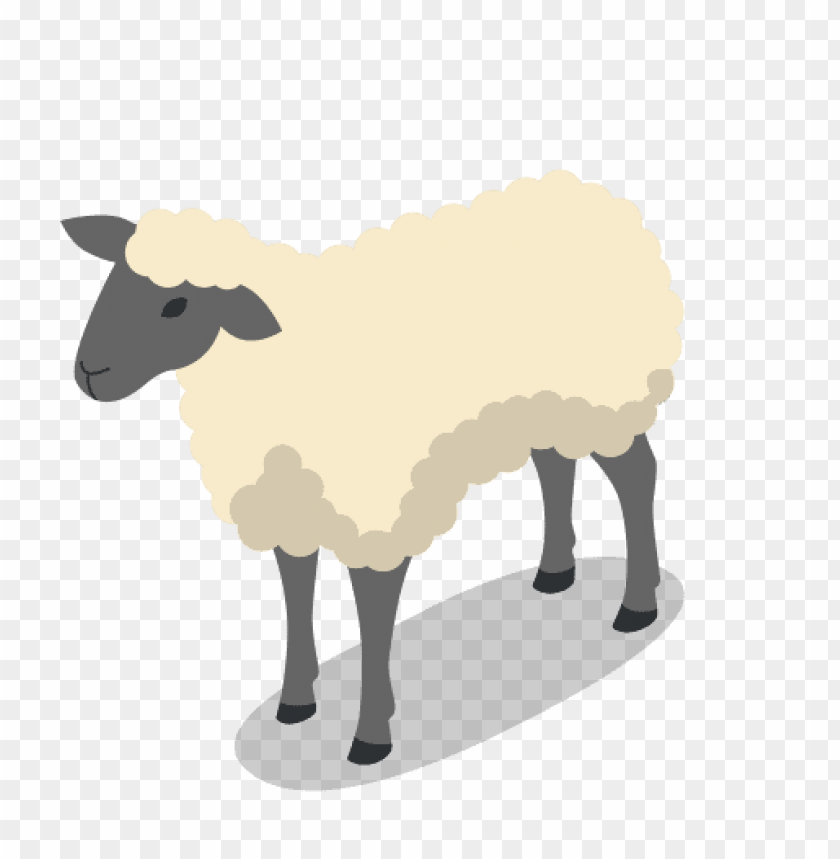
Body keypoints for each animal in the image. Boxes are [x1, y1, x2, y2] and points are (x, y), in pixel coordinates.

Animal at [62, 170, 683, 766]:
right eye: (114, 278)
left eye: (177, 304)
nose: (88, 372)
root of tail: (588, 197)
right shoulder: (289, 498)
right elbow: (297, 590)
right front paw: (296, 702)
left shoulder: (375, 501)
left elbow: (374, 610)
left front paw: (370, 736)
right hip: (542, 407)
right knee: (554, 467)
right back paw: (554, 573)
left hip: (606, 398)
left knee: (636, 475)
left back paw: (637, 605)